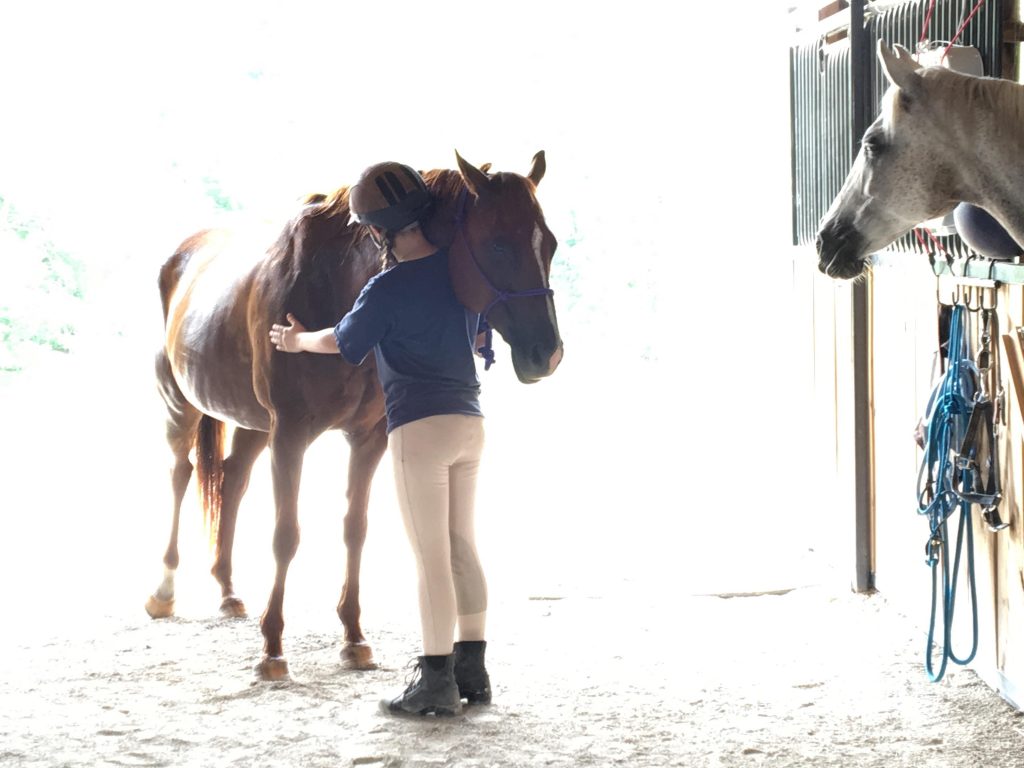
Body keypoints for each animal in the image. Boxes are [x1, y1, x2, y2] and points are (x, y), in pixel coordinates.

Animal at [145, 151, 563, 680]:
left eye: (550, 244)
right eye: (497, 244)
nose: (547, 355)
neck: (337, 285)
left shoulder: (368, 438)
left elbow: (355, 528)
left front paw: (353, 636)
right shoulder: (290, 435)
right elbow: (285, 535)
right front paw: (272, 647)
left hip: (253, 425)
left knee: (233, 479)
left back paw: (227, 590)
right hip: (180, 406)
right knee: (181, 475)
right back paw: (164, 589)